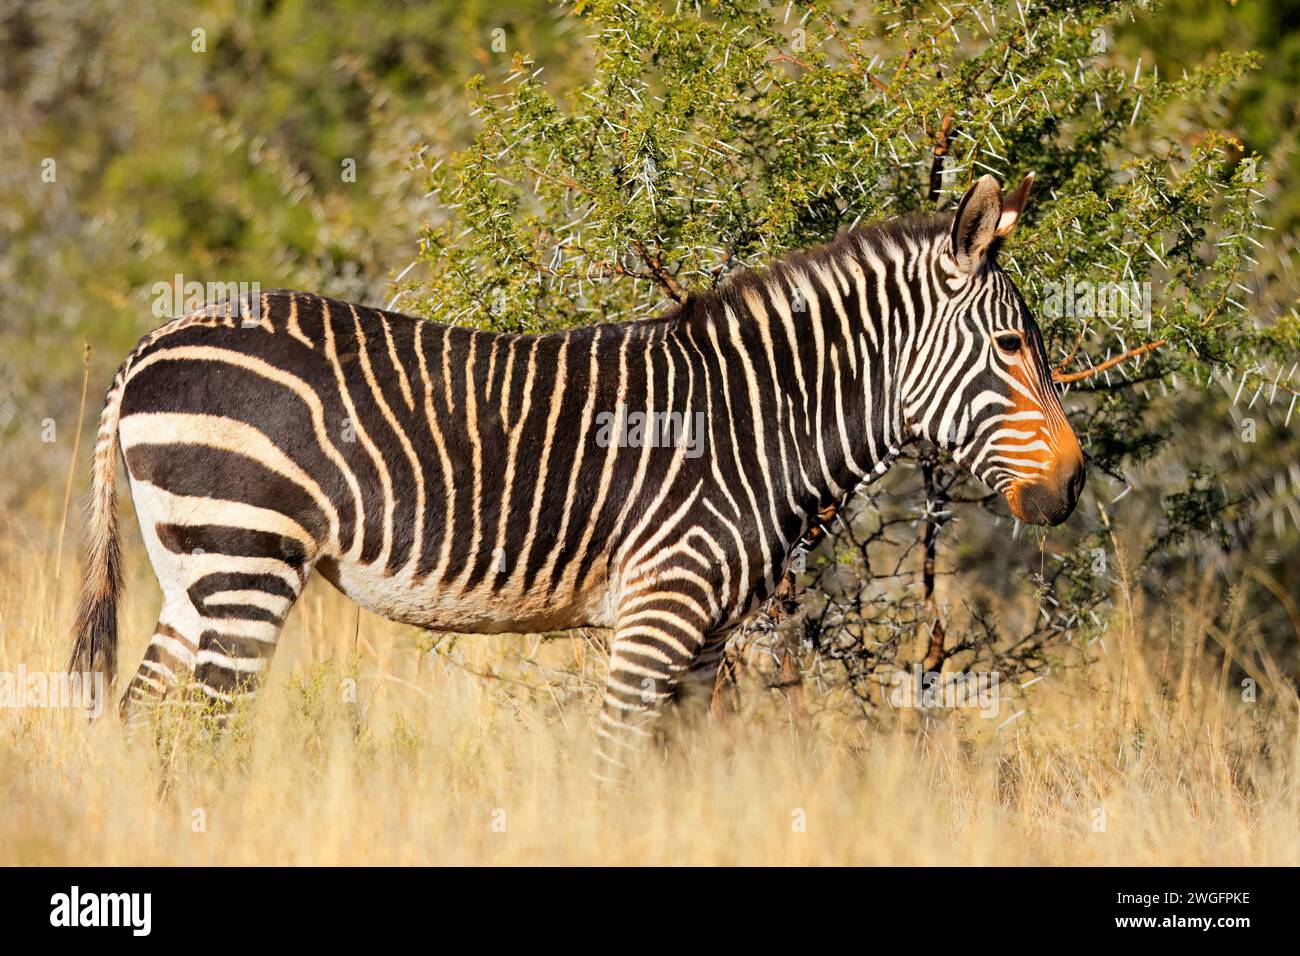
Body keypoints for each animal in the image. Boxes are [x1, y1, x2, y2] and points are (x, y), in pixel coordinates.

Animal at [69, 173, 1084, 775]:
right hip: (245, 557)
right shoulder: (659, 609)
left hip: (193, 568)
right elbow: (611, 770)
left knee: (142, 721)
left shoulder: (706, 633)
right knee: (204, 733)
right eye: (1011, 345)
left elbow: (669, 777)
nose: (1073, 486)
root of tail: (155, 340)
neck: (752, 419)